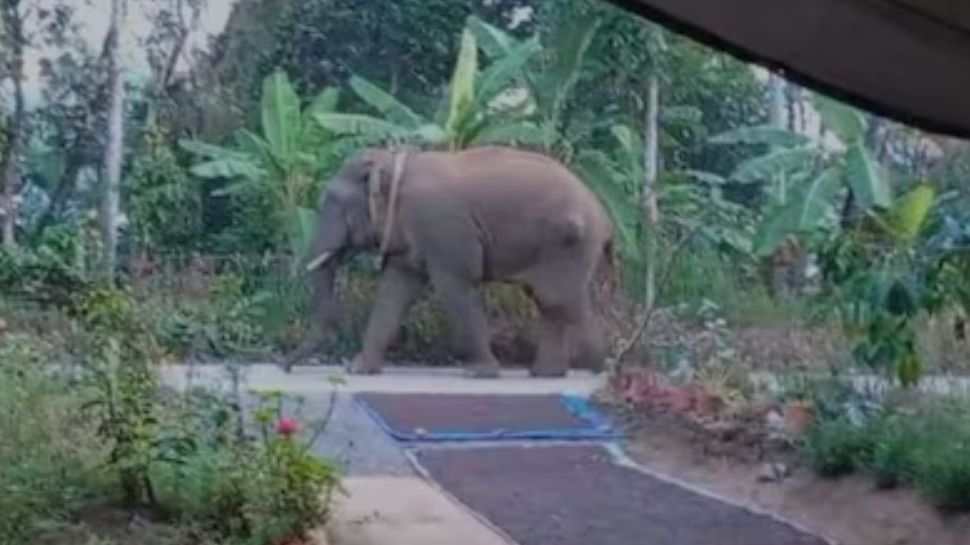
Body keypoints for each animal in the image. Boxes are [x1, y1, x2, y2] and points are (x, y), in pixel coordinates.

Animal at [283, 145, 615, 378]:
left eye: (332, 202)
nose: (285, 365)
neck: (394, 161)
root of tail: (604, 214)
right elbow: (396, 289)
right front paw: (359, 370)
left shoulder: (441, 226)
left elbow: (452, 286)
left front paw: (478, 373)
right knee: (549, 302)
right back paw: (548, 374)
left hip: (568, 244)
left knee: (556, 299)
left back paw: (597, 367)